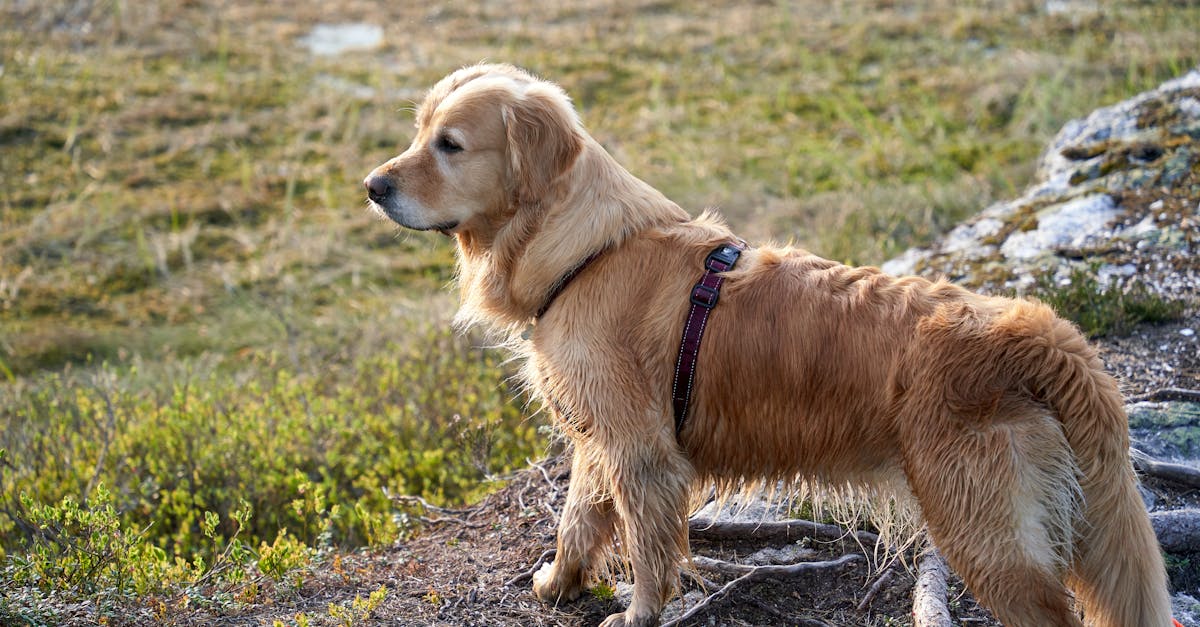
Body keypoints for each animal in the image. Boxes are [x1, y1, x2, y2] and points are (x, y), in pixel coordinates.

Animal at [364, 63, 1171, 624]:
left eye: (450, 145)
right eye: (418, 132)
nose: (372, 185)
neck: (587, 250)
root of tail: (1038, 332)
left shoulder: (642, 453)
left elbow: (647, 549)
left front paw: (638, 609)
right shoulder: (601, 438)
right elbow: (577, 520)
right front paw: (560, 584)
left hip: (986, 531)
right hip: (1081, 523)